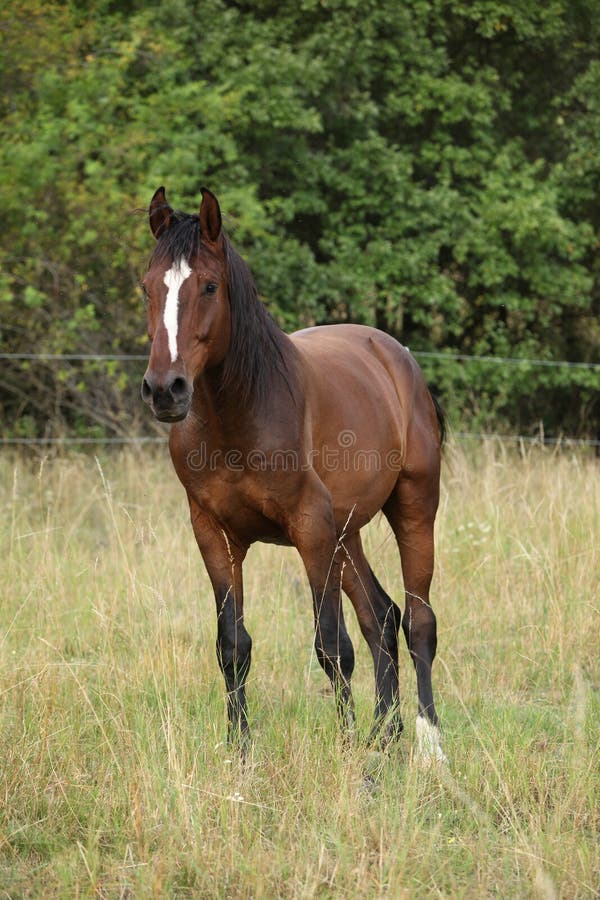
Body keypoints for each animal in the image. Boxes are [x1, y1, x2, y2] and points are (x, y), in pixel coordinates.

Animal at [141, 186, 446, 763]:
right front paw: (239, 751)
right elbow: (233, 646)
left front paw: (346, 749)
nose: (165, 390)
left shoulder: (309, 530)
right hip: (346, 534)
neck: (239, 415)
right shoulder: (214, 535)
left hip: (411, 509)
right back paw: (385, 734)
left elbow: (332, 647)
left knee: (418, 622)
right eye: (147, 286)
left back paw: (428, 742)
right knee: (382, 617)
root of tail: (397, 355)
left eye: (209, 286)